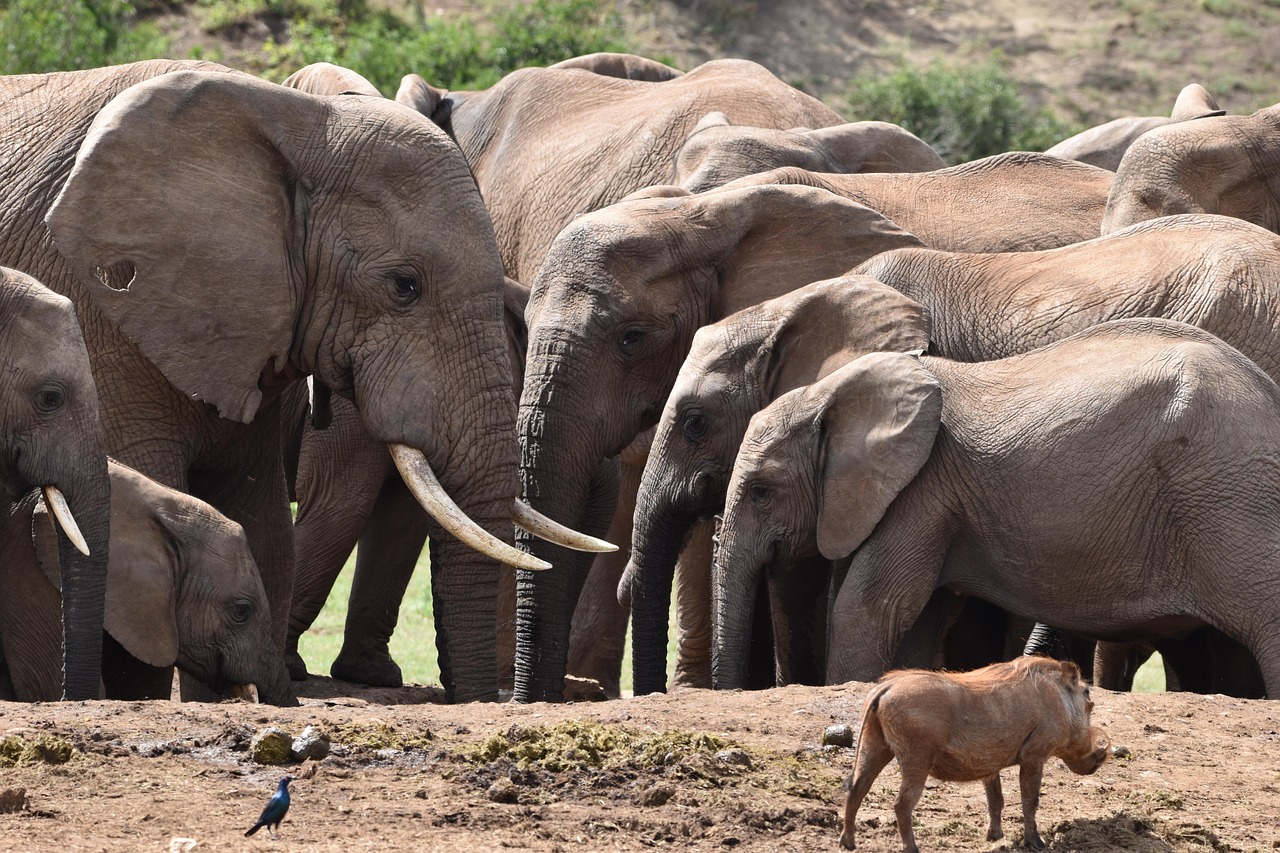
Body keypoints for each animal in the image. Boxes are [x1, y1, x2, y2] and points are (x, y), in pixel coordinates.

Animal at [711, 317, 1280, 697]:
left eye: (761, 491)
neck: (830, 393)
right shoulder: (938, 502)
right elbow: (918, 618)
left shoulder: (924, 488)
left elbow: (871, 606)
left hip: (1228, 497)